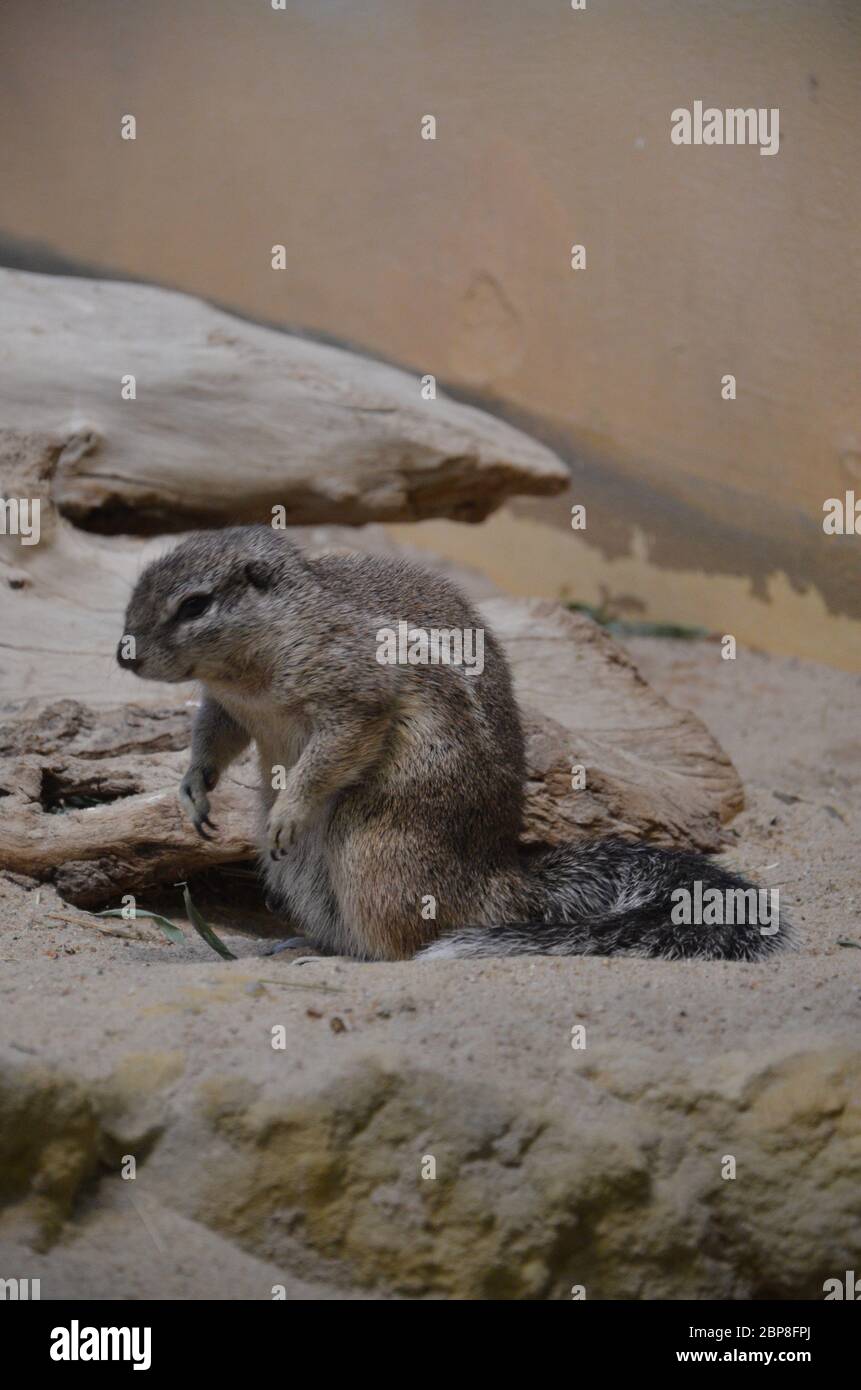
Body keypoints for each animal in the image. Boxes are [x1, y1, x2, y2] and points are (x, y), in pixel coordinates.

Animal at [117, 525, 787, 962]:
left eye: (195, 604)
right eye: (141, 582)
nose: (124, 656)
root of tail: (497, 883)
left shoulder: (357, 694)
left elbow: (338, 744)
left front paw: (291, 808)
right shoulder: (229, 708)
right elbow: (212, 738)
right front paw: (192, 791)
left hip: (370, 843)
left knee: (405, 943)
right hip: (302, 873)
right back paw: (302, 943)